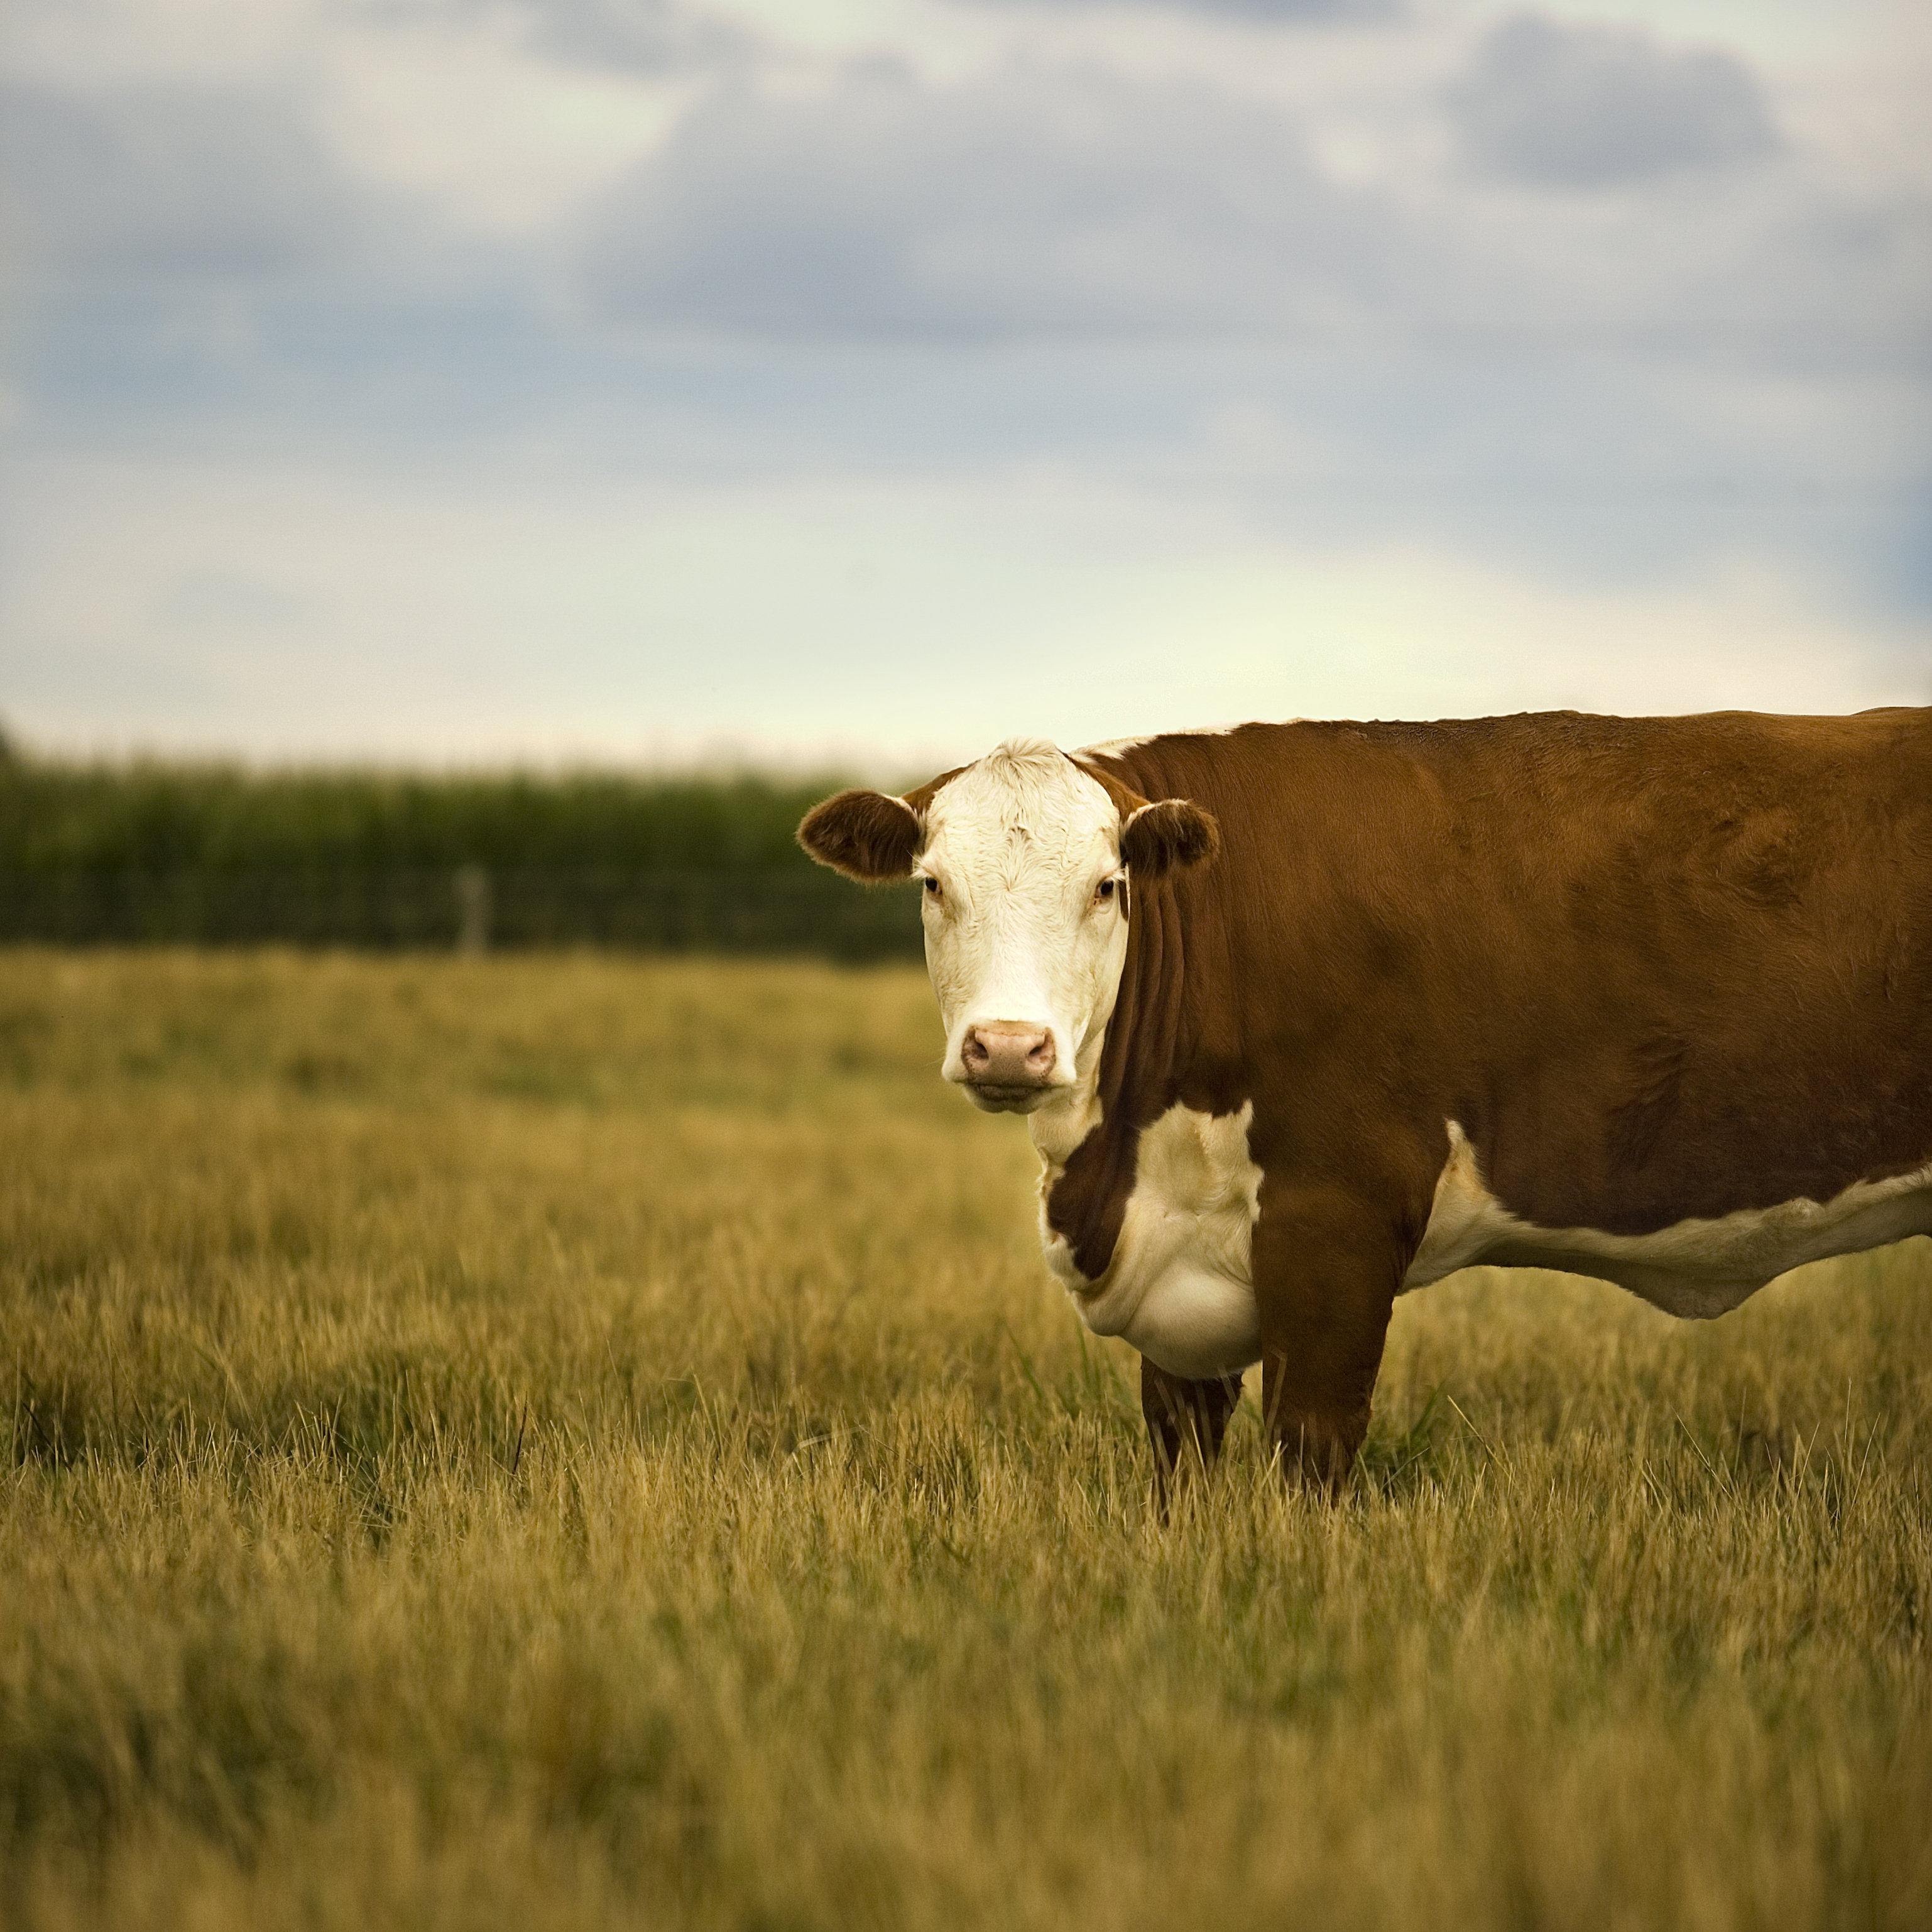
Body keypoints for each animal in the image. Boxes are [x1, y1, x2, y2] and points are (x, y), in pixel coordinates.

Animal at [797, 712, 1932, 1494]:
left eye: (1107, 887)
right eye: (933, 884)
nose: (1009, 1045)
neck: (1119, 1164)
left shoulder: (1335, 1222)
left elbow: (1310, 1451)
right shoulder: (1174, 1274)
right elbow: (1180, 1455)